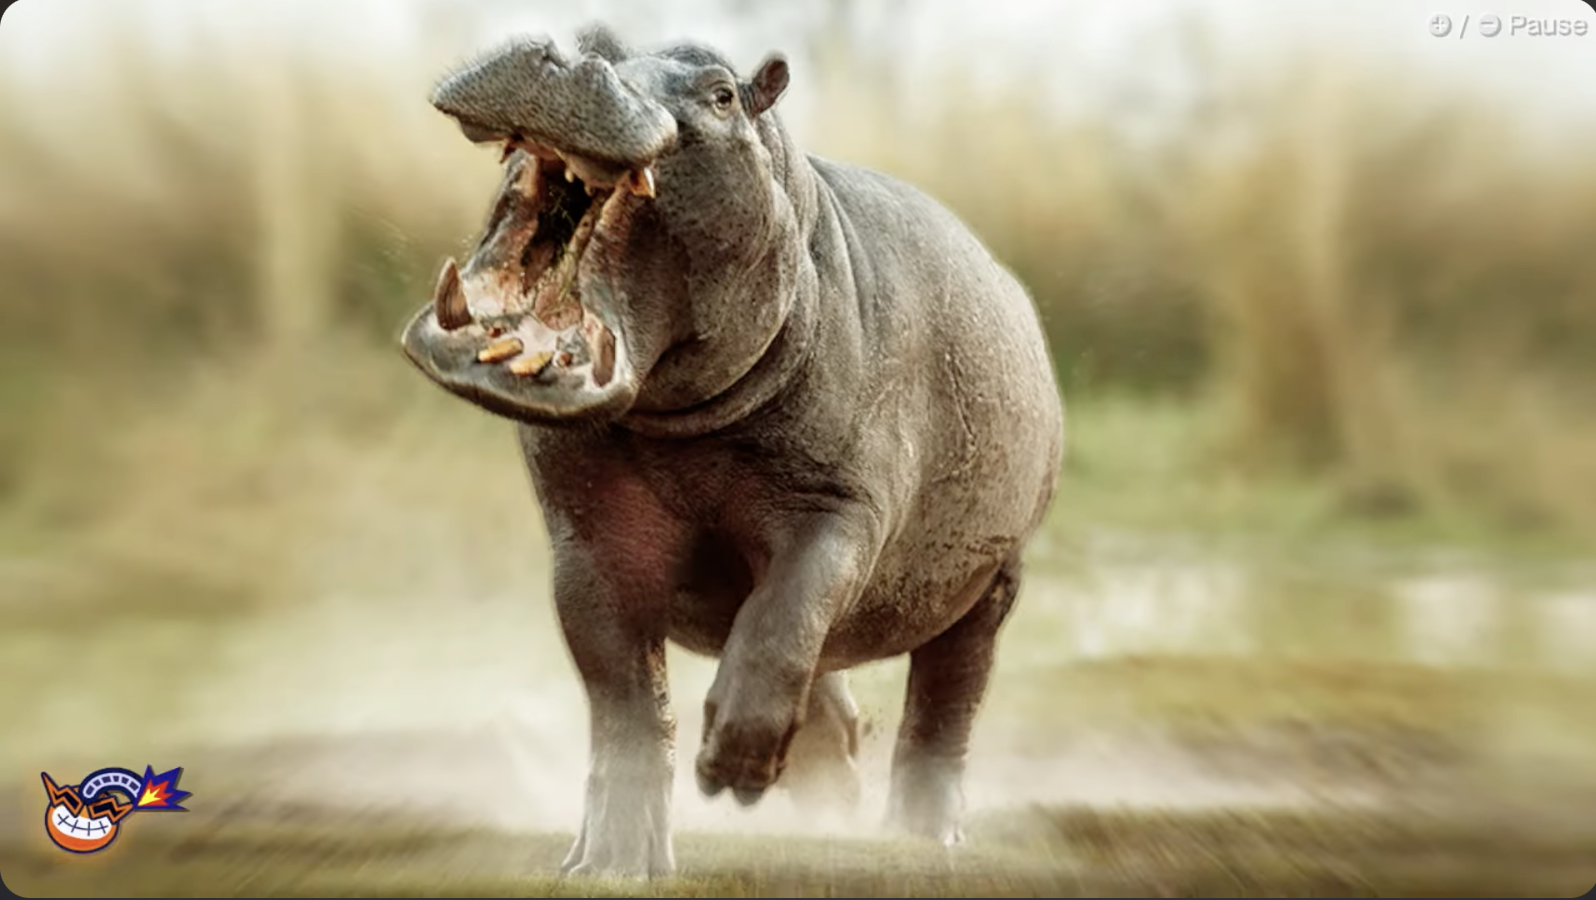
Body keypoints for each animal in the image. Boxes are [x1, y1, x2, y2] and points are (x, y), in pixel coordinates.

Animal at [400, 23, 1064, 878]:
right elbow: (625, 698)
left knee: (947, 697)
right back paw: (829, 783)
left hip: (995, 579)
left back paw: (921, 833)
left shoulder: (839, 508)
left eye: (720, 92)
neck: (678, 423)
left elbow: (787, 615)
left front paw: (734, 770)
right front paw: (611, 862)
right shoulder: (588, 541)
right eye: (592, 37)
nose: (565, 57)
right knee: (823, 666)